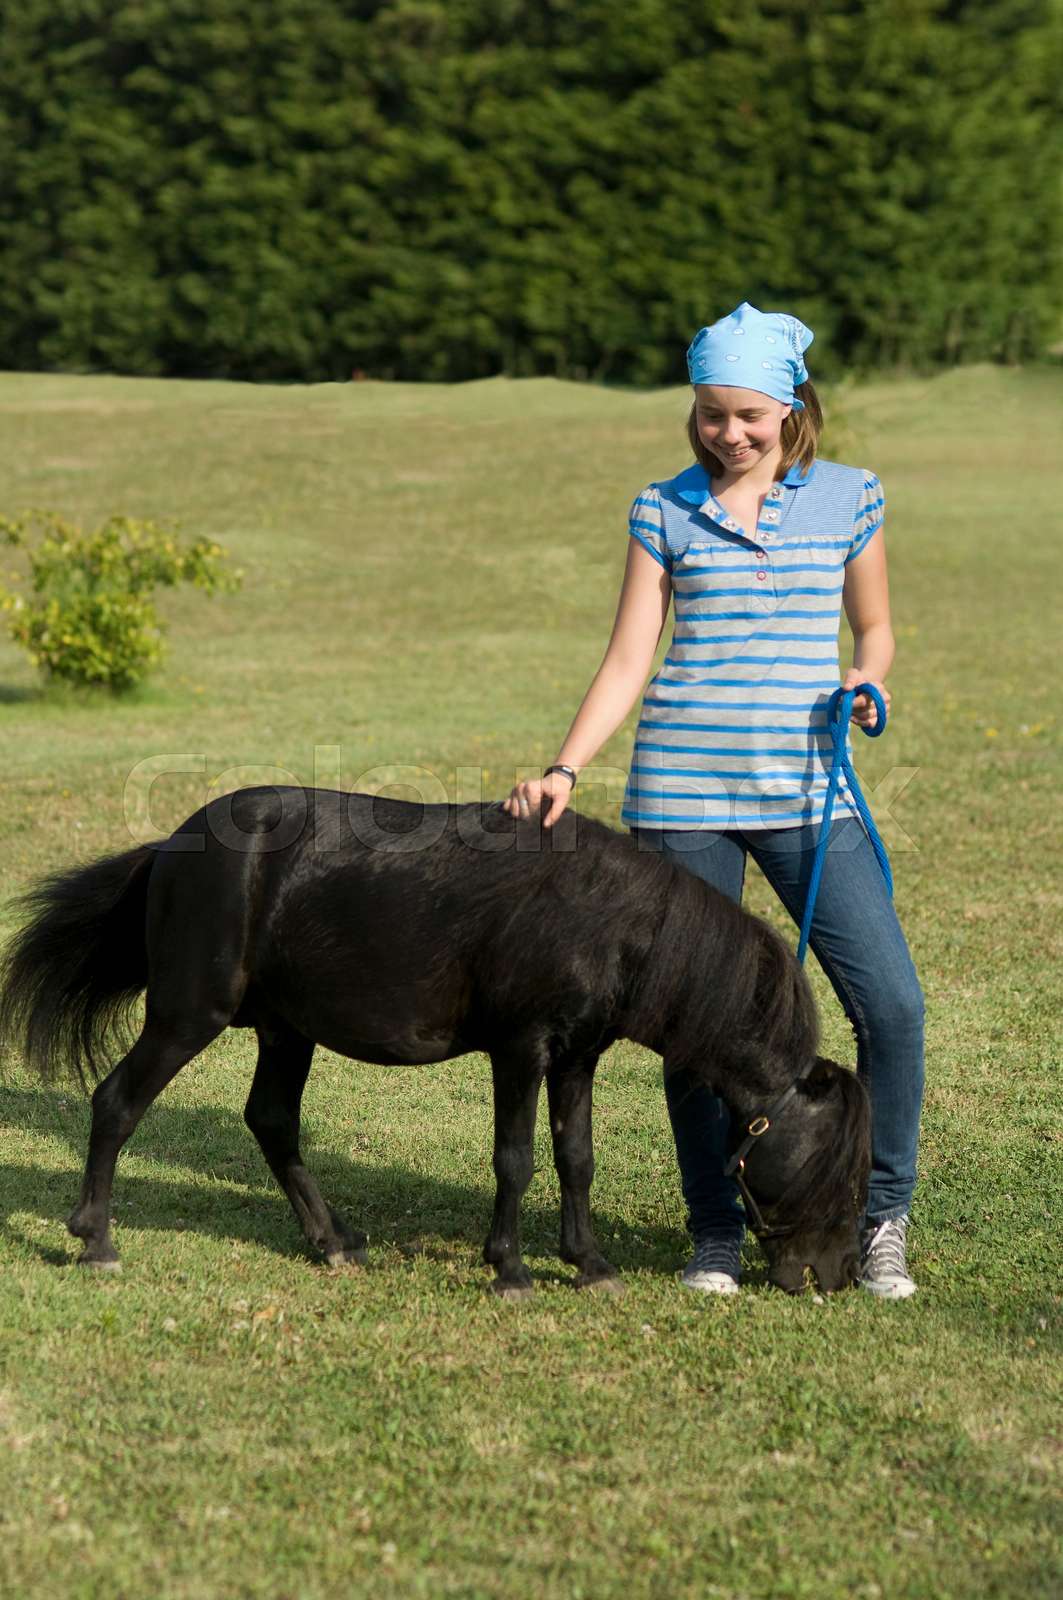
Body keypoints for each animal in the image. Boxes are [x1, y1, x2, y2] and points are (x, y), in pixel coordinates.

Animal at [0, 787, 871, 1295]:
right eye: (843, 1174)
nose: (833, 1275)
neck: (606, 923)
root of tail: (171, 848)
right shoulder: (520, 1051)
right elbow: (516, 1159)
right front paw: (510, 1267)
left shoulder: (577, 1058)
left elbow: (576, 1158)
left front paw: (587, 1263)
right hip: (188, 1016)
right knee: (117, 1102)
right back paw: (95, 1239)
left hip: (286, 1031)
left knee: (272, 1123)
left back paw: (332, 1240)